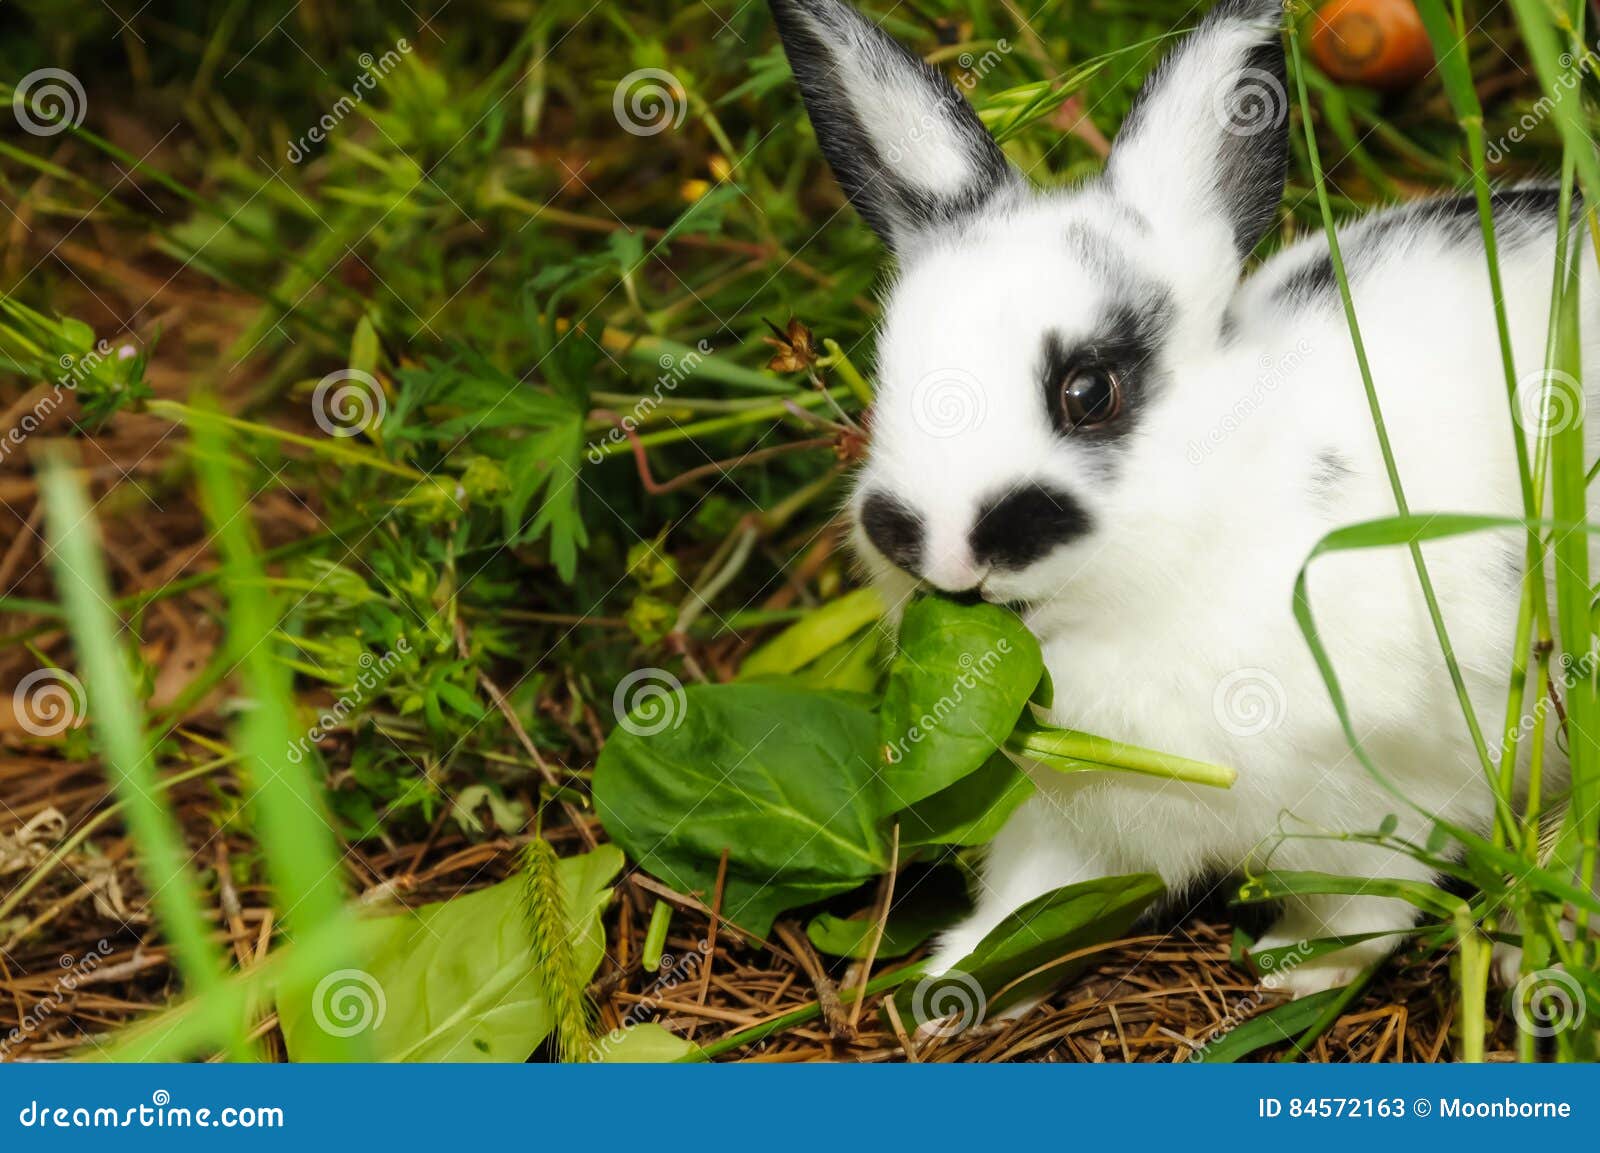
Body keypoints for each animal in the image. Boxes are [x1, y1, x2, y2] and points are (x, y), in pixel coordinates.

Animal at [768, 0, 1600, 1000]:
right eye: (886, 382)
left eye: (1089, 392)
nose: (941, 549)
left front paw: (1290, 975)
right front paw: (951, 984)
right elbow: (1025, 904)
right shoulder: (1066, 820)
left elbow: (1359, 910)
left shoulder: (1383, 798)